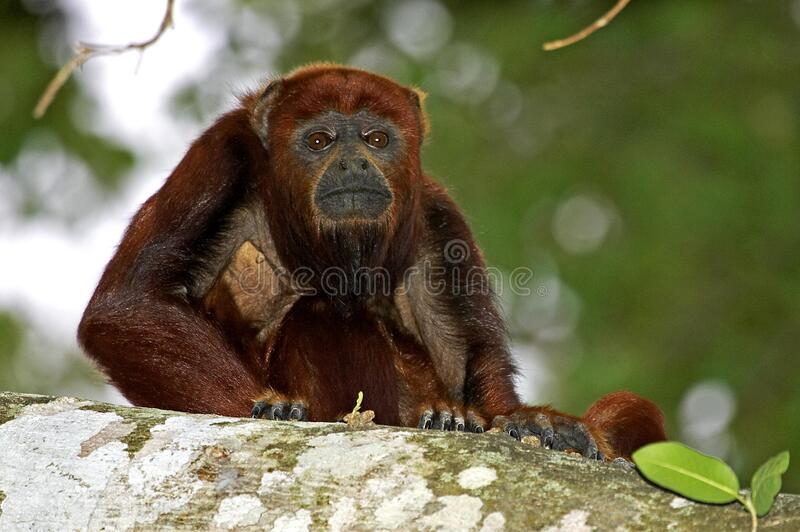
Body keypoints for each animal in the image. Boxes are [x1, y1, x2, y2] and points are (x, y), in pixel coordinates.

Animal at [78, 64, 665, 460]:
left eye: (376, 138)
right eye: (319, 139)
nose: (354, 163)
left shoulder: (434, 214)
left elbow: (464, 358)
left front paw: (521, 418)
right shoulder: (219, 155)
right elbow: (127, 307)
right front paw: (269, 405)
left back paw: (441, 417)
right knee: (325, 312)